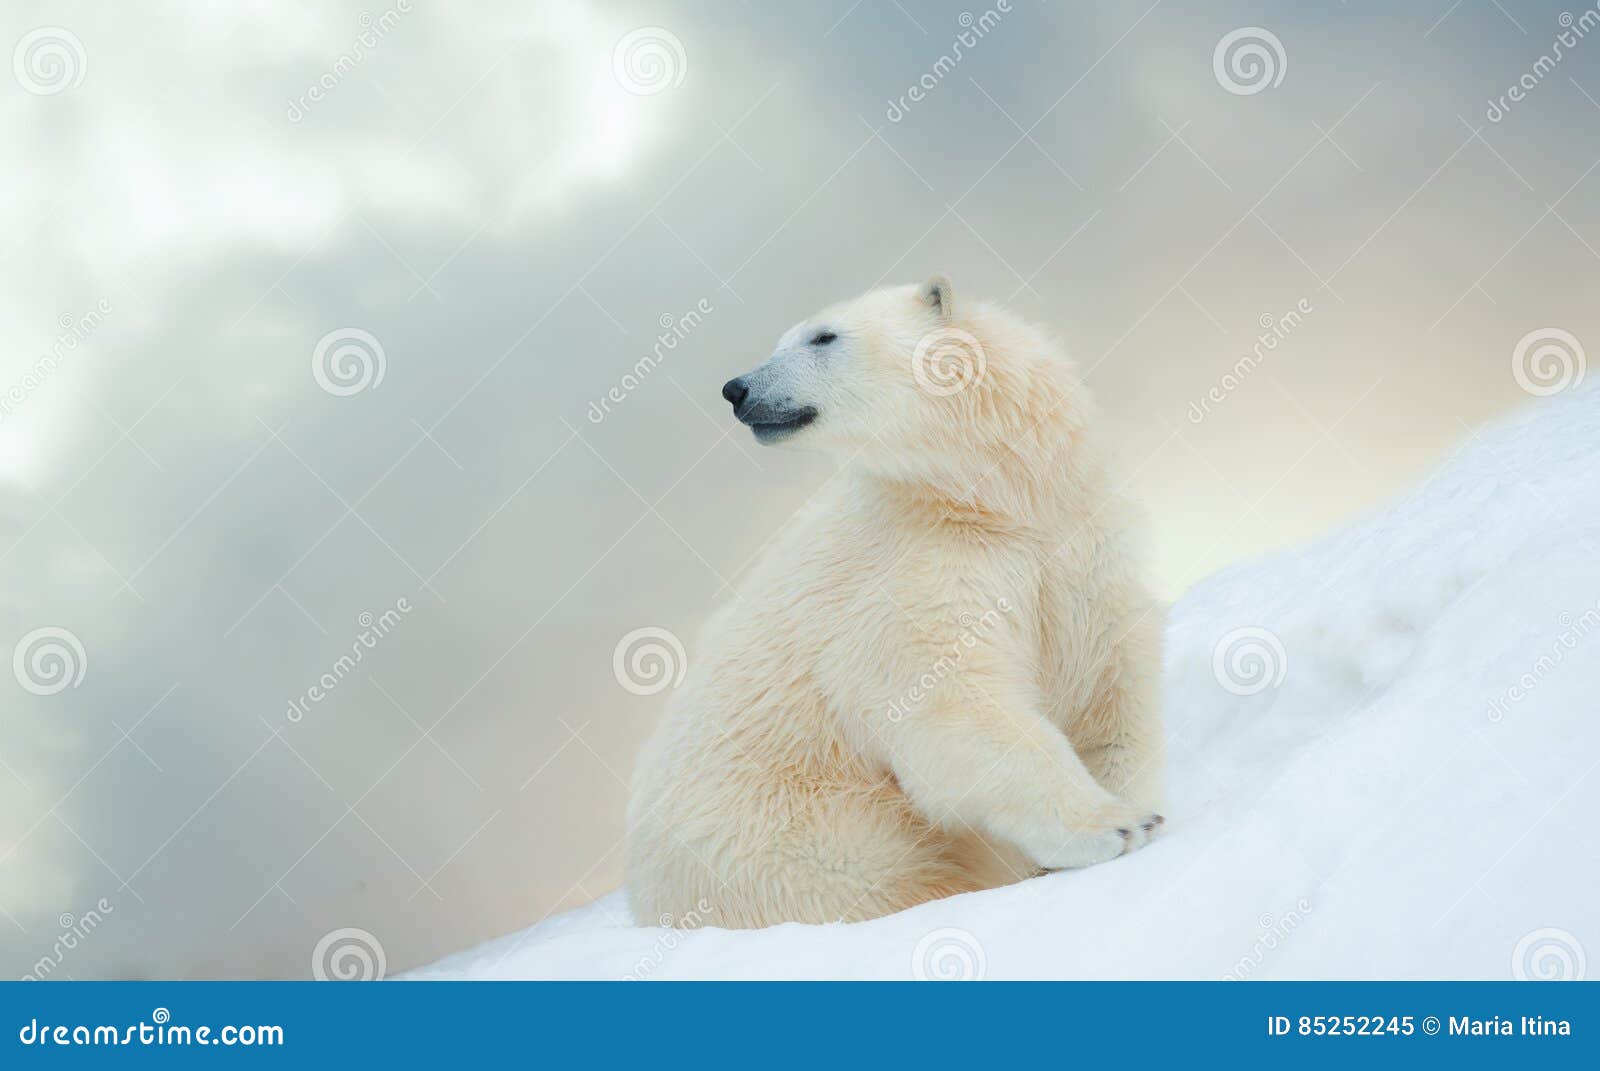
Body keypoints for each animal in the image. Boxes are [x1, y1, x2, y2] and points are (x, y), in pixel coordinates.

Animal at [625, 275, 1165, 929]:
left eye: (823, 336)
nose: (737, 388)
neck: (998, 498)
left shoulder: (1079, 540)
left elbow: (1106, 677)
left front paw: (1138, 808)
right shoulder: (914, 568)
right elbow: (940, 698)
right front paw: (1112, 827)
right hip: (791, 835)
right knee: (881, 880)